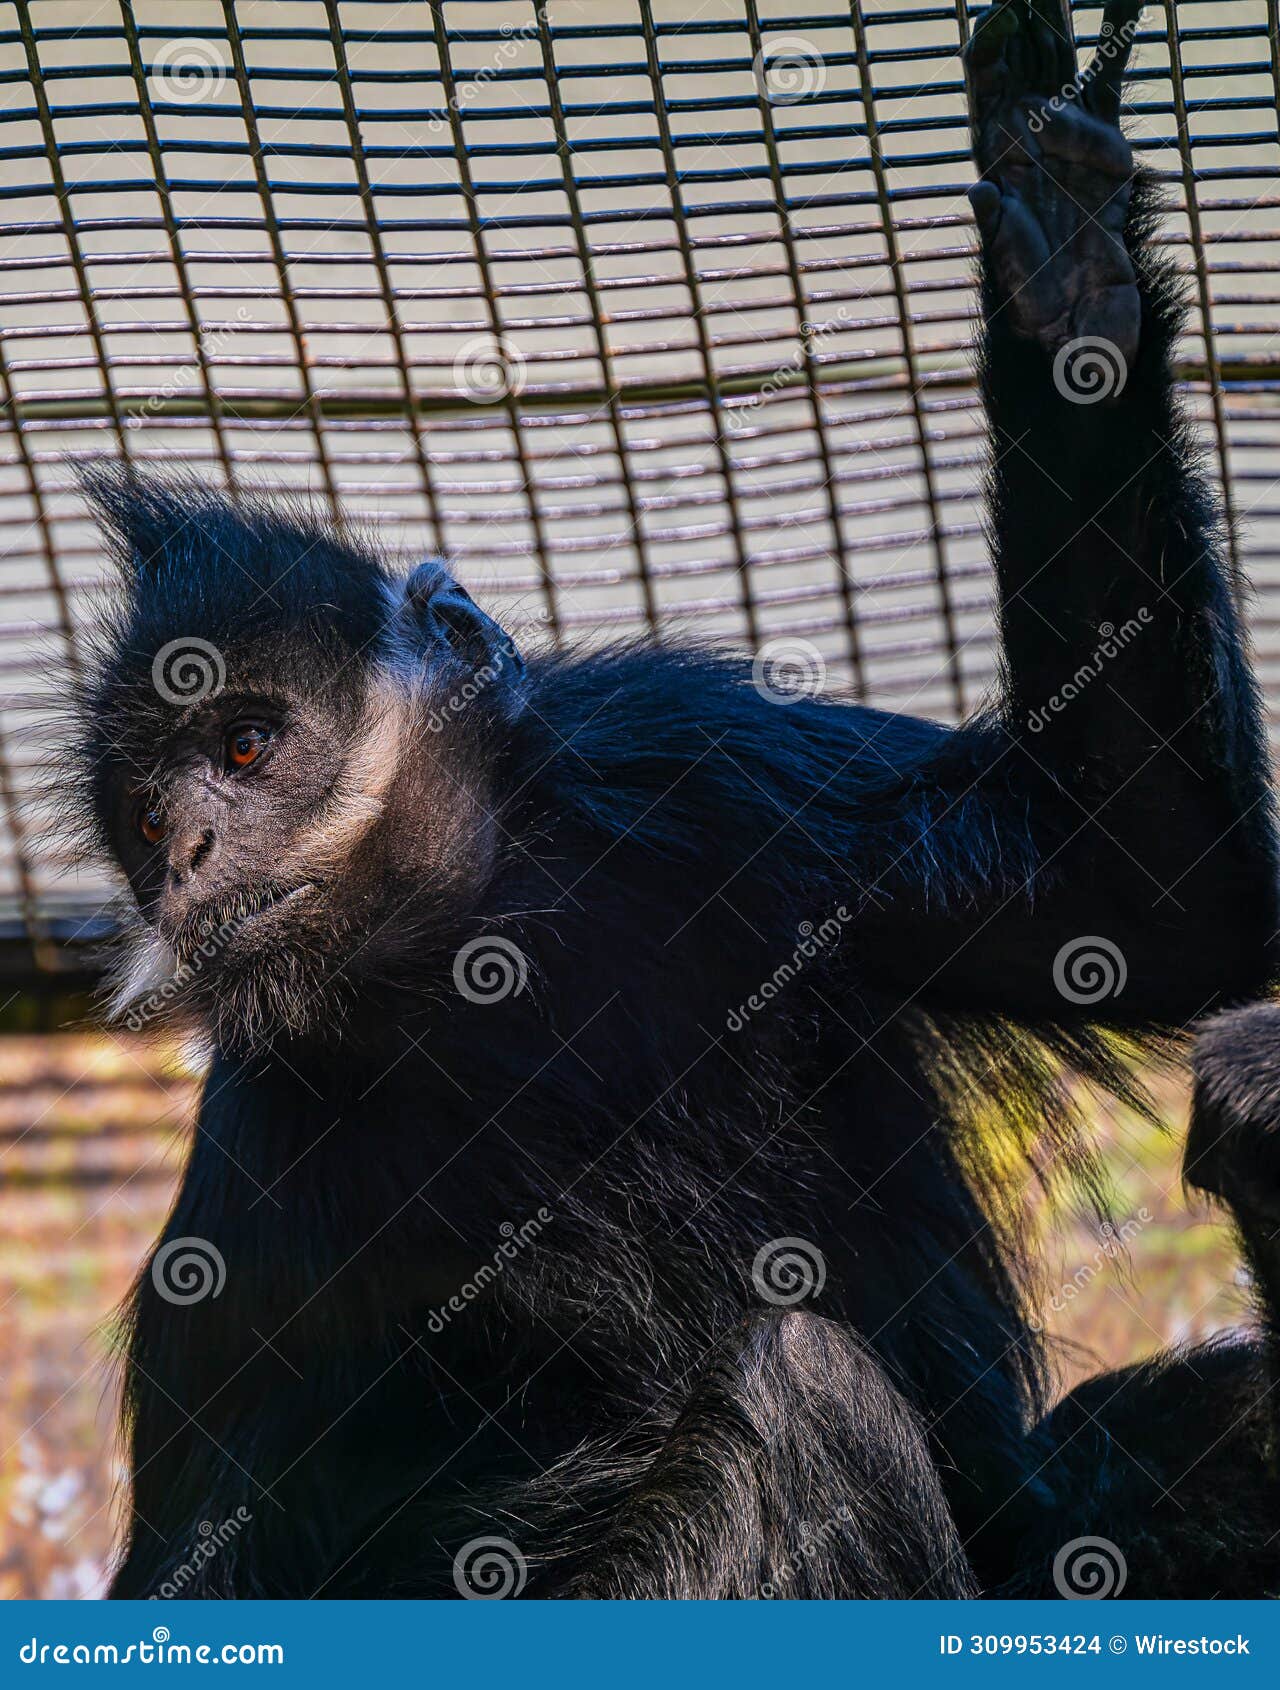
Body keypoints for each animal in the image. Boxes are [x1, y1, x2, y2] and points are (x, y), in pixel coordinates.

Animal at [65, 0, 1280, 1598]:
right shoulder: (256, 1178)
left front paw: (1067, 278)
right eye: (148, 822)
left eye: (251, 747)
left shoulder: (702, 765)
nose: (194, 852)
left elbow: (1146, 896)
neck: (491, 966)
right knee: (795, 1395)